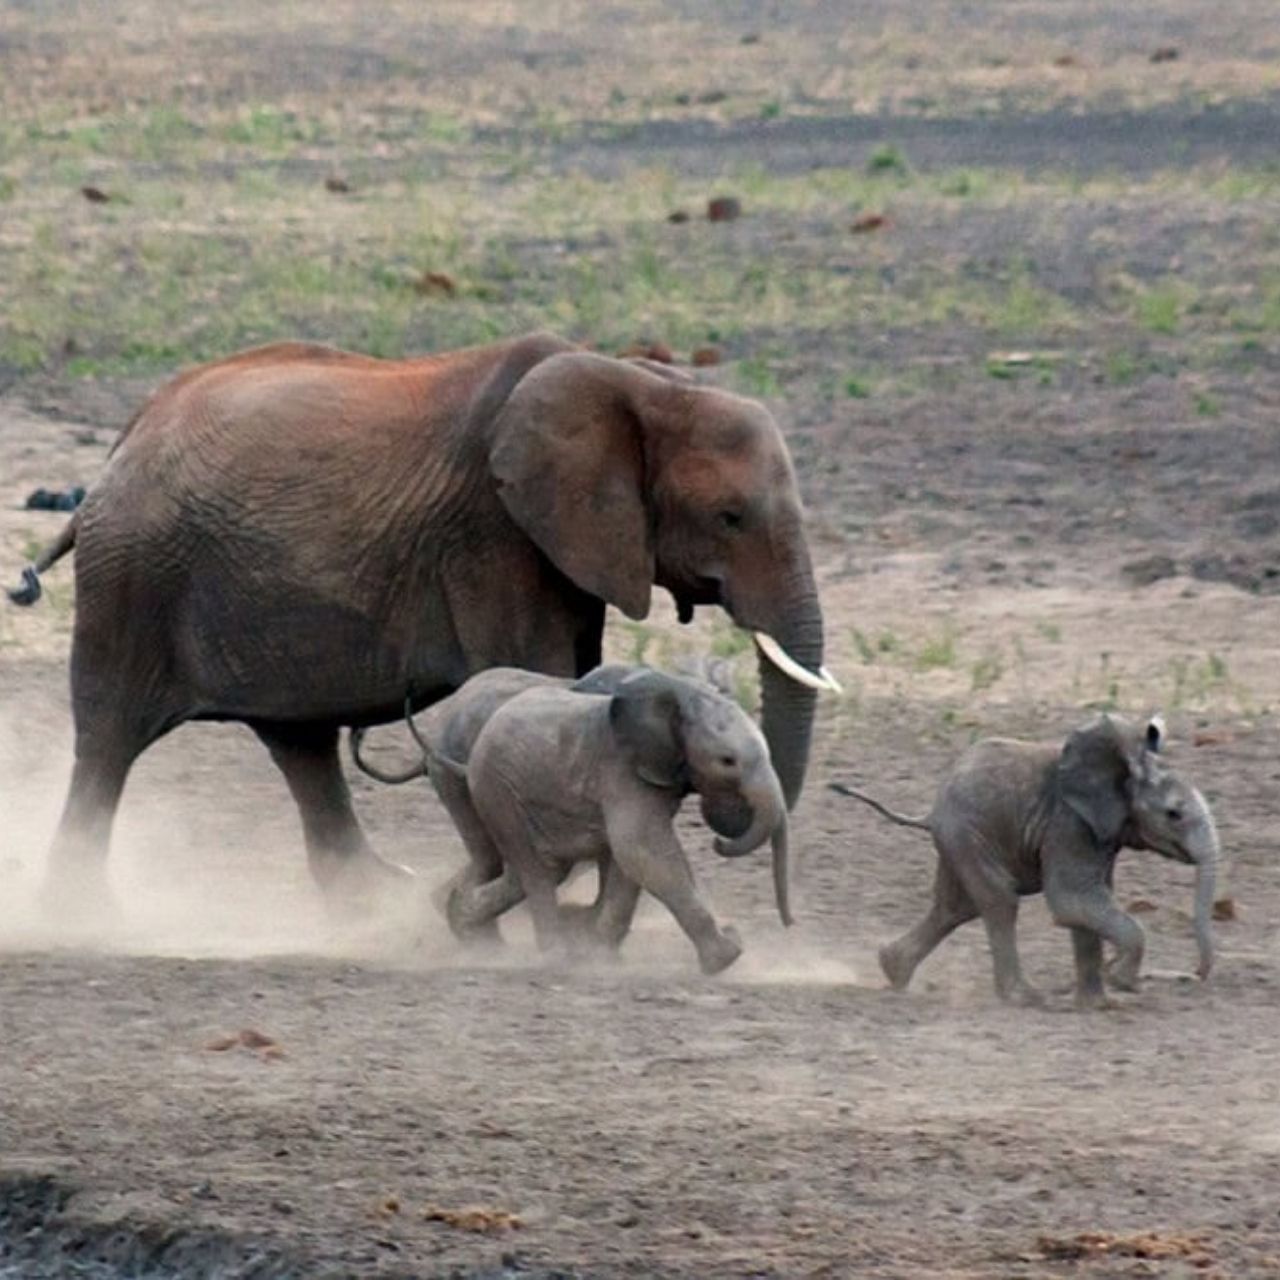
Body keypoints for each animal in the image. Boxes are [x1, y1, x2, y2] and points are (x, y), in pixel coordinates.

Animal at [6, 332, 836, 915]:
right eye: (730, 516)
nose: (723, 823)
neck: (638, 380)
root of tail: (125, 439)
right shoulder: (493, 536)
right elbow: (538, 676)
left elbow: (578, 675)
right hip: (133, 579)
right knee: (109, 740)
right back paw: (83, 913)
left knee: (300, 745)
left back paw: (378, 903)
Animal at [411, 667, 792, 973]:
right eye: (727, 761)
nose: (790, 923)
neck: (679, 692)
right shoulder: (620, 772)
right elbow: (644, 851)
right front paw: (727, 956)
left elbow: (631, 863)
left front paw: (602, 955)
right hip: (495, 788)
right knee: (536, 869)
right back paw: (552, 954)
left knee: (539, 869)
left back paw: (461, 917)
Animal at [831, 714, 1219, 1008]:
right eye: (1173, 815)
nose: (1192, 975)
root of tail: (931, 809)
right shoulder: (1068, 823)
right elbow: (1072, 900)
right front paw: (1122, 982)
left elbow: (1086, 908)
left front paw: (1101, 1004)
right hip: (967, 832)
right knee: (999, 901)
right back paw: (1025, 998)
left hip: (961, 838)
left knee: (955, 908)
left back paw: (892, 970)